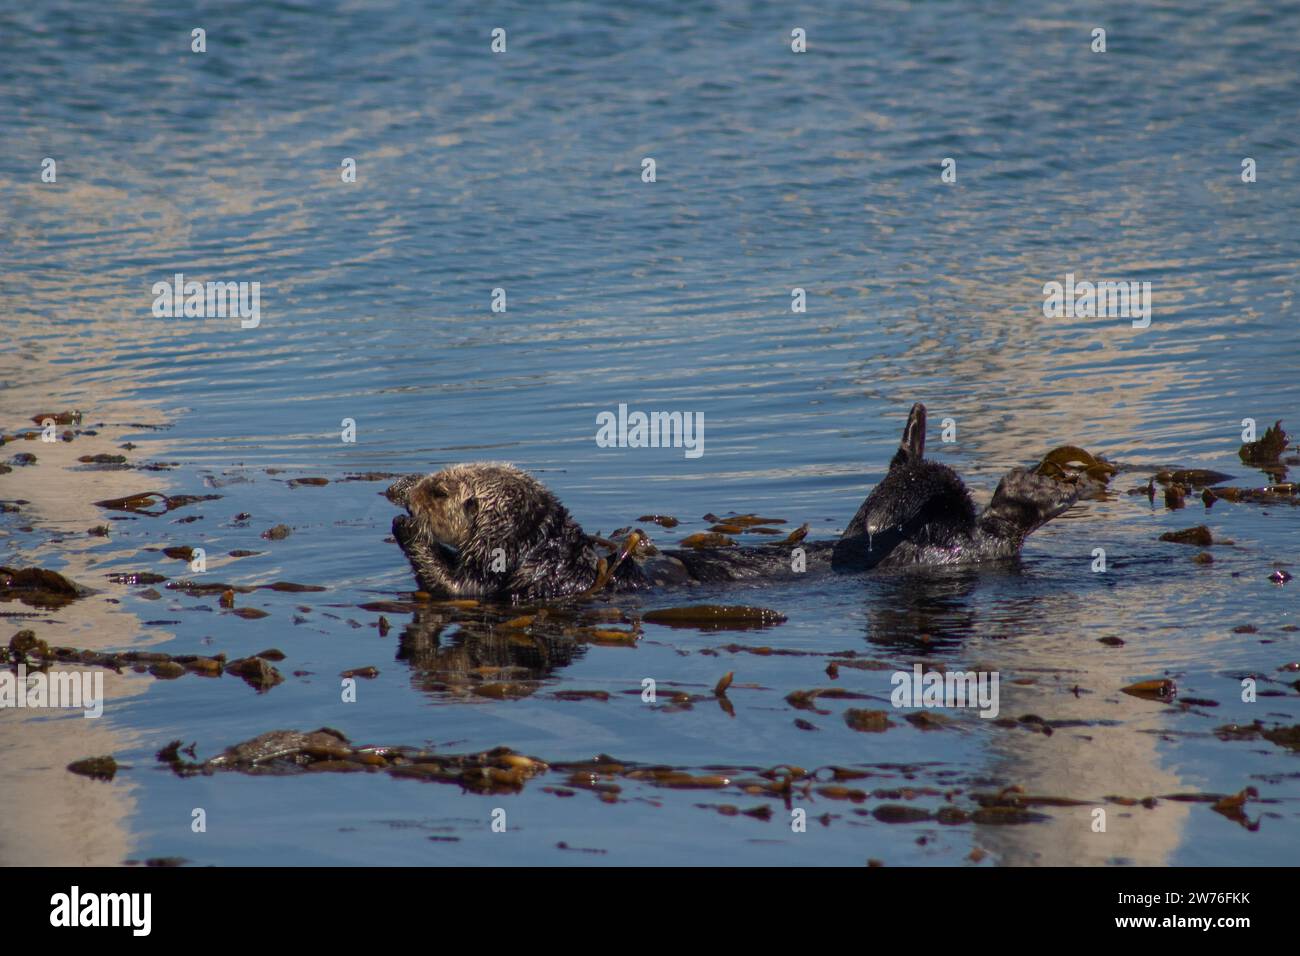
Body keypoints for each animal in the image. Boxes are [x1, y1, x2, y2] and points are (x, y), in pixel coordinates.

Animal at [386, 404, 1080, 602]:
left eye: (440, 490)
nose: (403, 490)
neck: (548, 545)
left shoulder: (517, 577)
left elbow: (454, 586)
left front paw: (404, 526)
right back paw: (1039, 489)